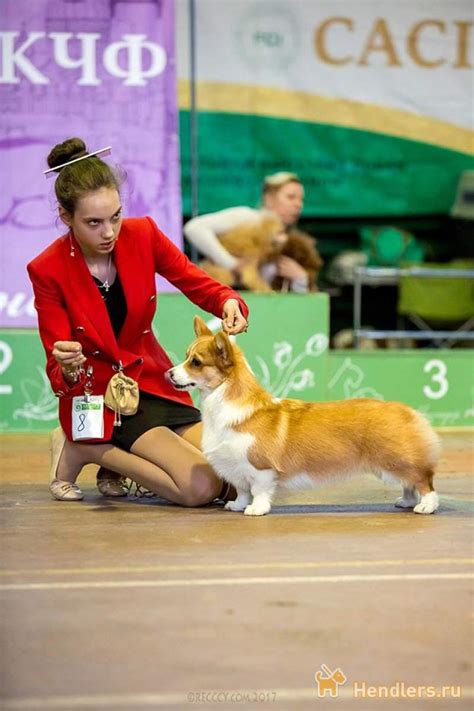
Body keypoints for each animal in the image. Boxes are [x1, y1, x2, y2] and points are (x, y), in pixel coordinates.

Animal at [167, 318, 440, 516]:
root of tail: (406, 410)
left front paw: (256, 509)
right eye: (186, 356)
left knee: (423, 482)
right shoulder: (236, 467)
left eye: (196, 362)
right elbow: (243, 490)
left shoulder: (260, 467)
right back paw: (406, 502)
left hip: (396, 460)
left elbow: (259, 490)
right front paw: (238, 505)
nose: (168, 373)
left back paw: (426, 506)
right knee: (409, 484)